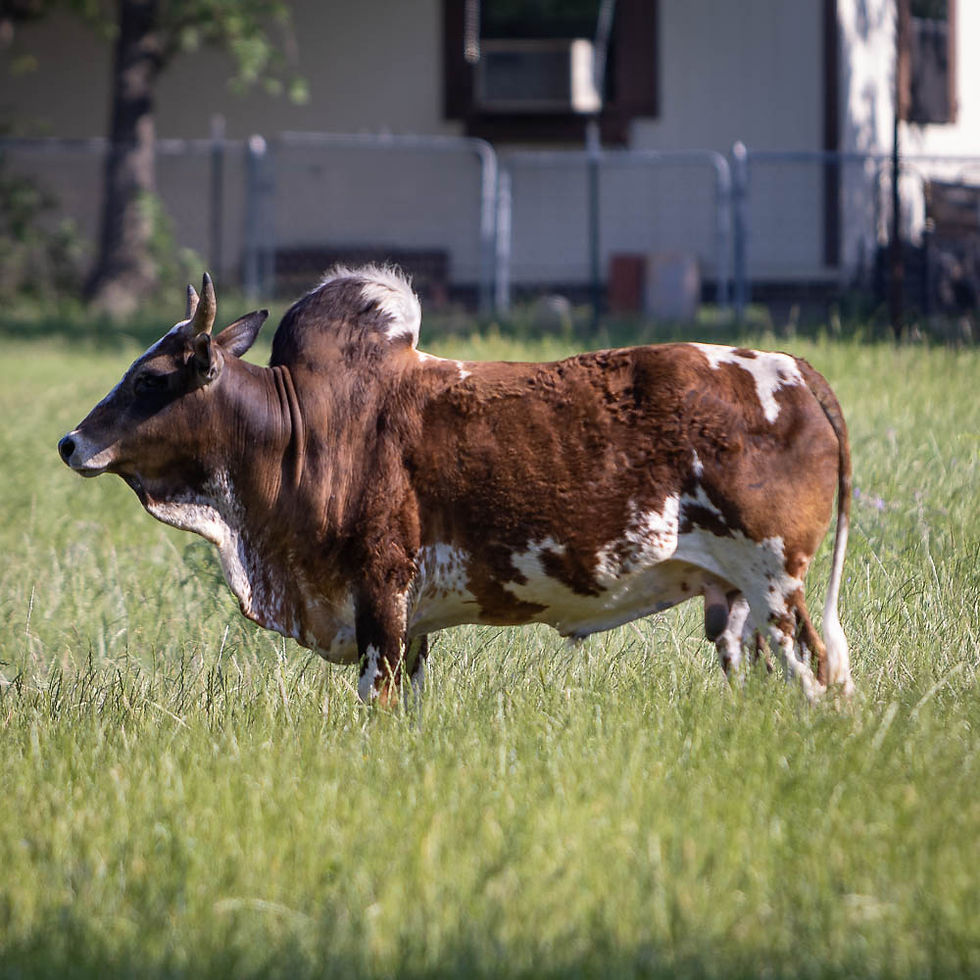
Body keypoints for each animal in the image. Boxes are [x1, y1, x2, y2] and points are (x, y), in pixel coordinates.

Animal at [58, 266, 854, 705]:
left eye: (151, 379)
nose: (71, 443)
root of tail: (794, 367)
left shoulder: (379, 594)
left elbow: (375, 704)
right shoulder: (412, 623)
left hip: (779, 586)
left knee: (821, 677)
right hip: (741, 604)